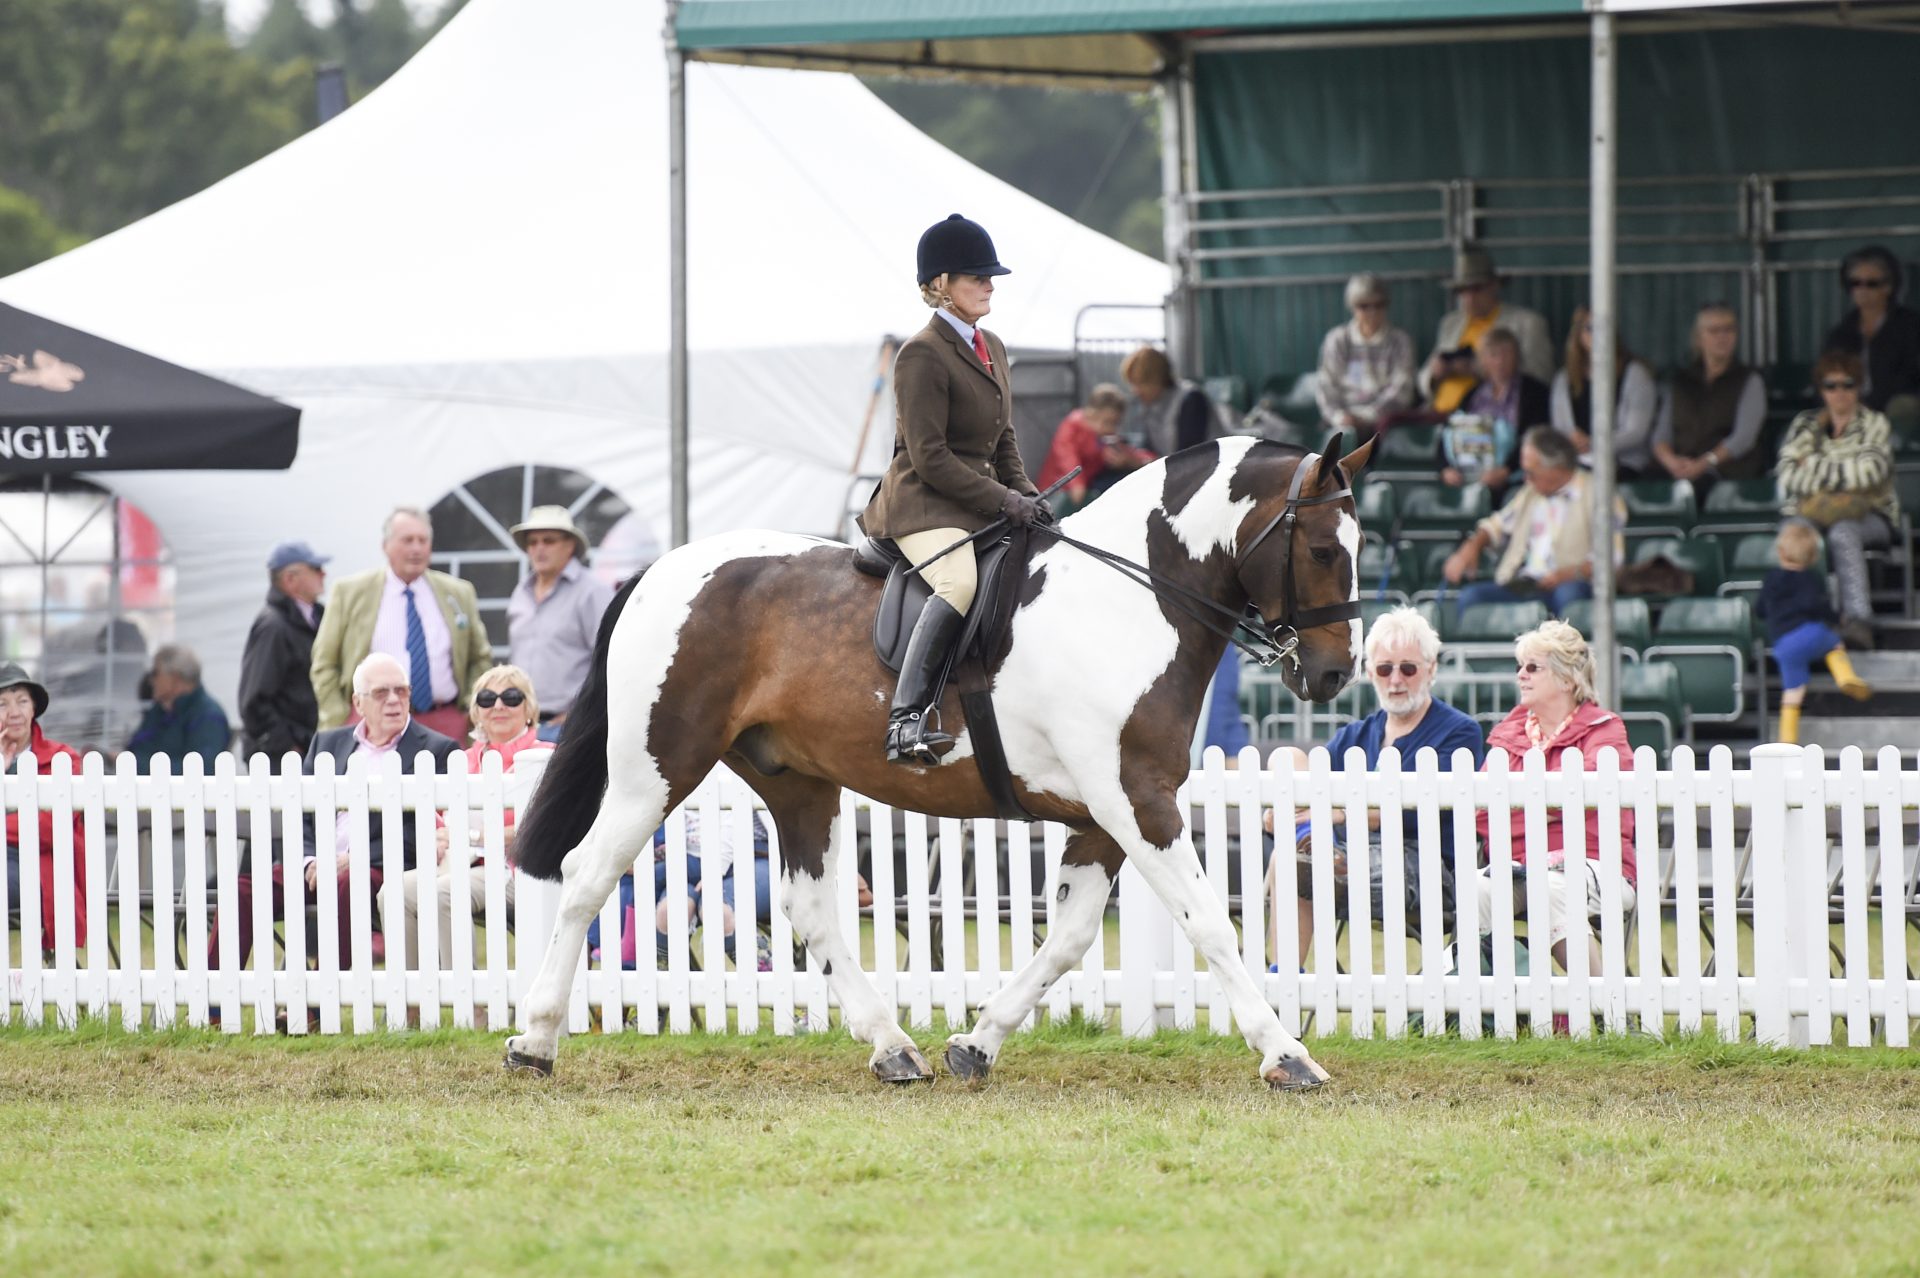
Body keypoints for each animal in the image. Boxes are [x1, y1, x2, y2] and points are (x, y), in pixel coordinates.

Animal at [506, 433, 1375, 1089]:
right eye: (1322, 549)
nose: (1334, 674)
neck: (1132, 599)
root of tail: (657, 571)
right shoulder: (1136, 799)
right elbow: (1211, 925)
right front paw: (1288, 1055)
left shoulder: (1104, 813)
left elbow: (1068, 938)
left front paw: (975, 1042)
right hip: (656, 766)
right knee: (586, 876)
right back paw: (534, 1041)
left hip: (796, 781)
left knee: (809, 907)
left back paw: (895, 1049)